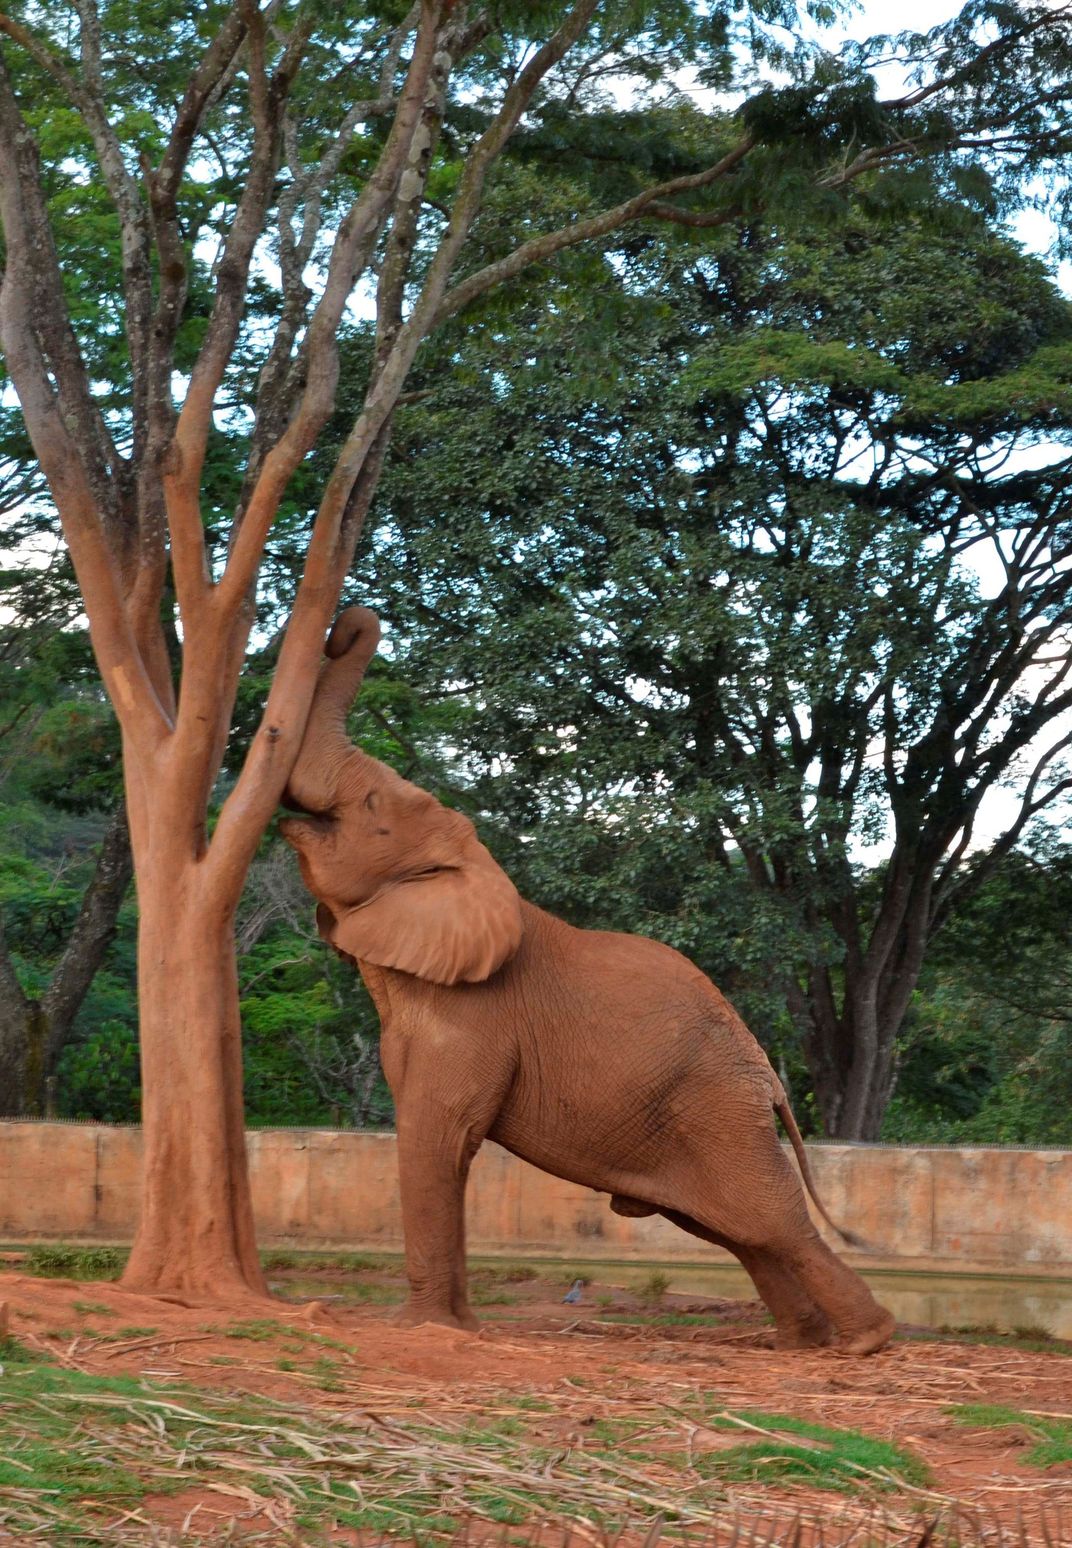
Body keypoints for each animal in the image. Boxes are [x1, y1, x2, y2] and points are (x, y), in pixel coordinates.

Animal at [280, 607, 895, 1355]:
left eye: (373, 808)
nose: (344, 624)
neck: (475, 862)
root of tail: (768, 1079)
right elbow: (449, 1154)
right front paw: (460, 1327)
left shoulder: (473, 1020)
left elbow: (436, 1142)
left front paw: (421, 1328)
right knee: (734, 1230)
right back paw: (802, 1343)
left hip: (715, 1110)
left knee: (771, 1222)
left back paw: (867, 1342)